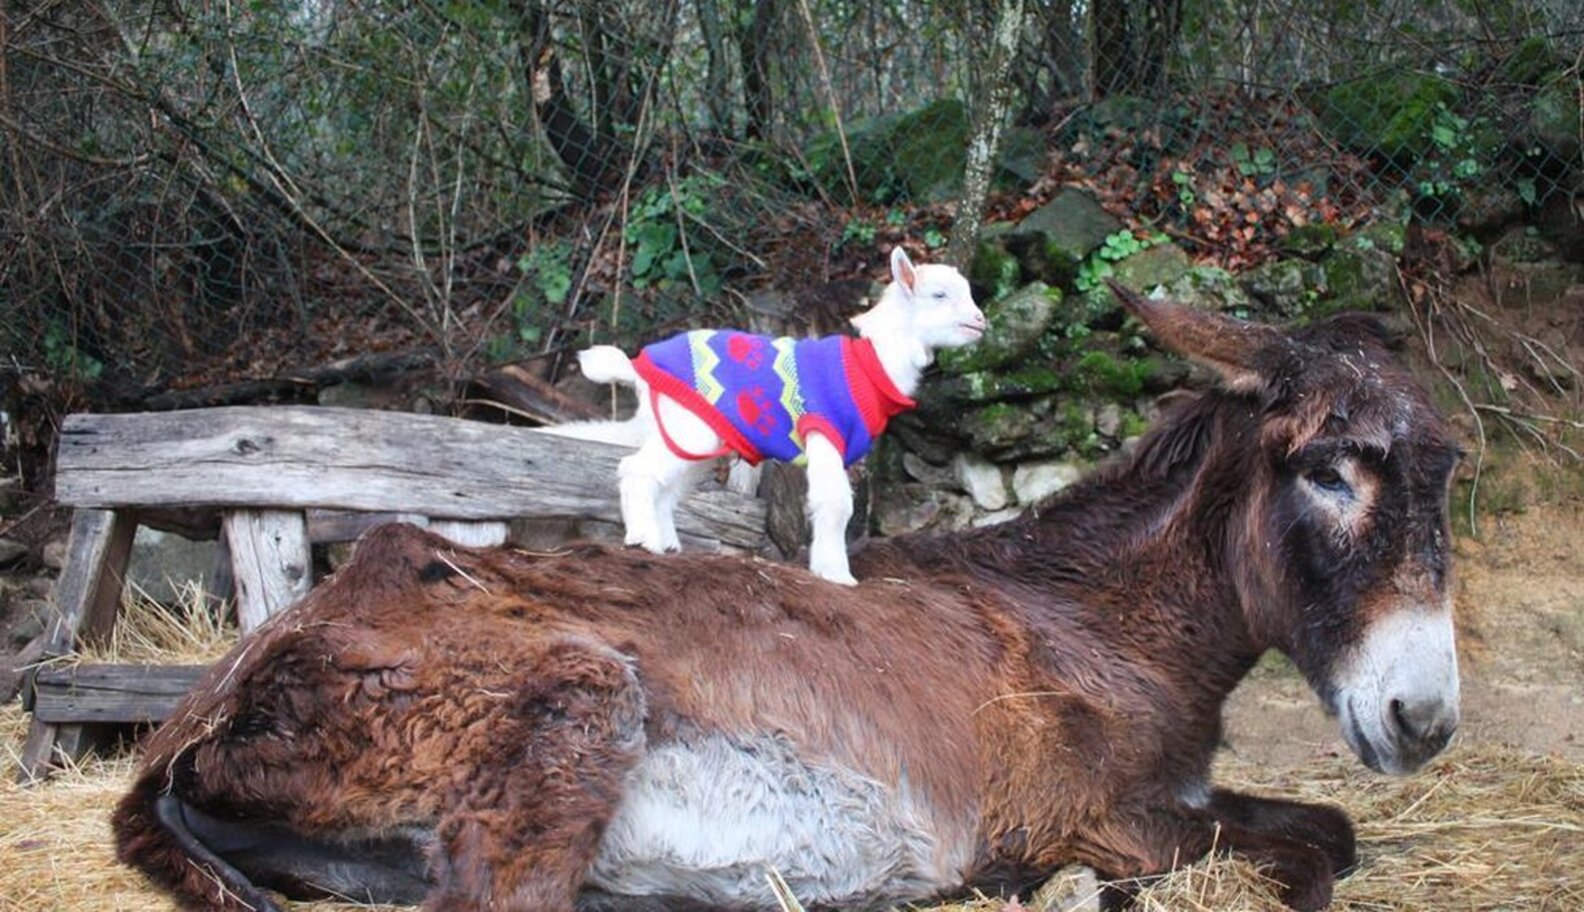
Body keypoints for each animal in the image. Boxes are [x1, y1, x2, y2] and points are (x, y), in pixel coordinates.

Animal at [114, 286, 1462, 912]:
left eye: (1449, 470)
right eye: (1328, 469)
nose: (1425, 720)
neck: (1095, 620)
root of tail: (207, 708)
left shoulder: (1169, 798)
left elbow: (1329, 829)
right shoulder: (1091, 815)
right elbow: (1310, 855)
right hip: (573, 695)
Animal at [575, 246, 985, 584]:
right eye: (939, 295)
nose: (981, 321)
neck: (870, 363)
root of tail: (636, 368)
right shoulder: (822, 431)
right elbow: (836, 502)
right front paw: (836, 574)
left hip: (694, 436)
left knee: (667, 488)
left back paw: (667, 546)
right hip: (689, 427)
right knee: (637, 470)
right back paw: (643, 540)